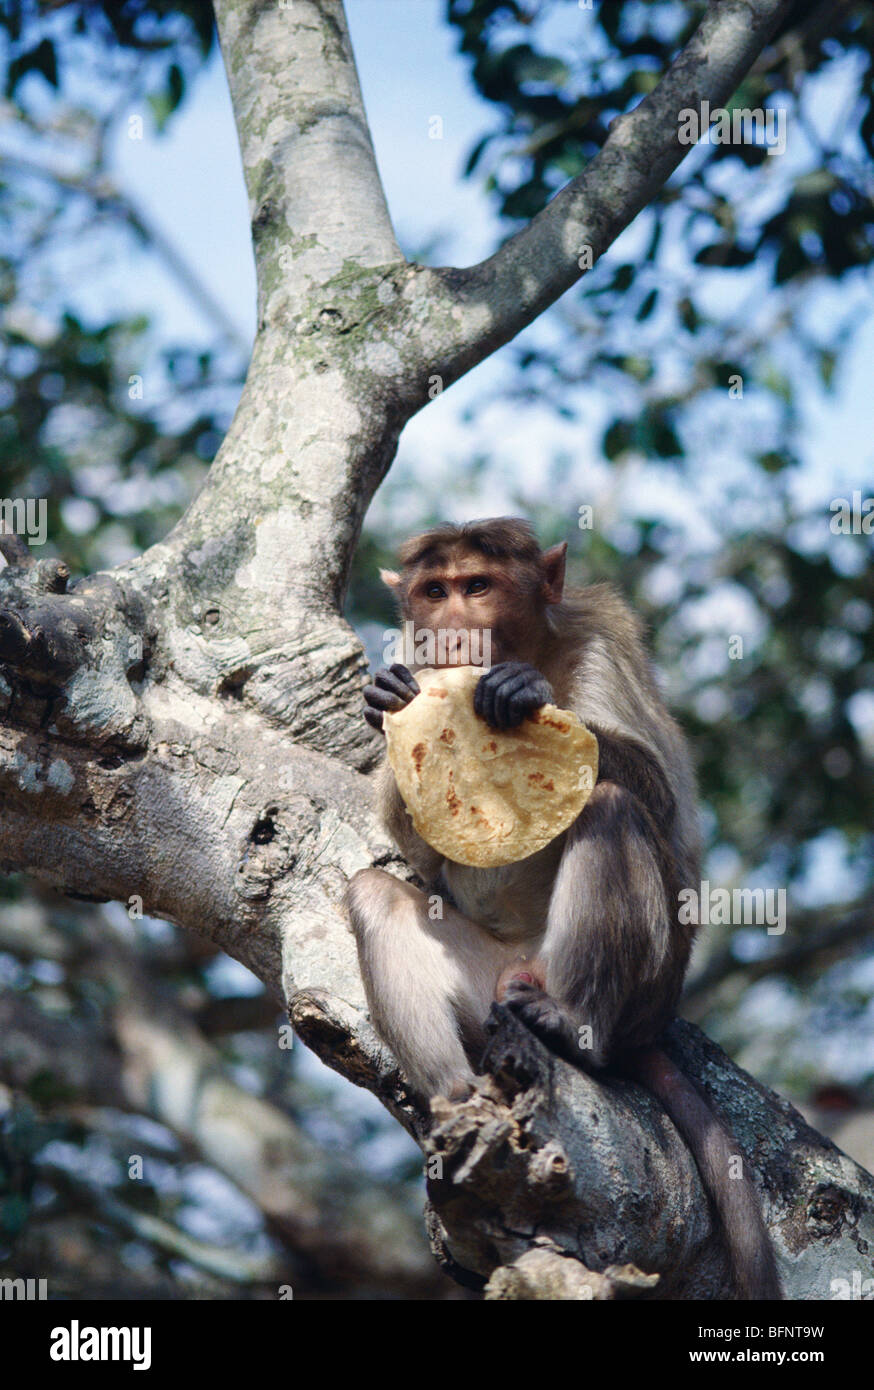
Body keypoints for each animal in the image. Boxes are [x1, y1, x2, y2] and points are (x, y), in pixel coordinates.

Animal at [346, 517, 781, 1300]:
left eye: (476, 586)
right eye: (434, 592)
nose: (452, 630)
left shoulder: (603, 640)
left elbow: (657, 793)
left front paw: (524, 694)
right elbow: (423, 853)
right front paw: (388, 698)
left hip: (641, 979)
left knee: (610, 807)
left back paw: (573, 1027)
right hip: (488, 977)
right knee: (376, 897)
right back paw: (458, 1100)